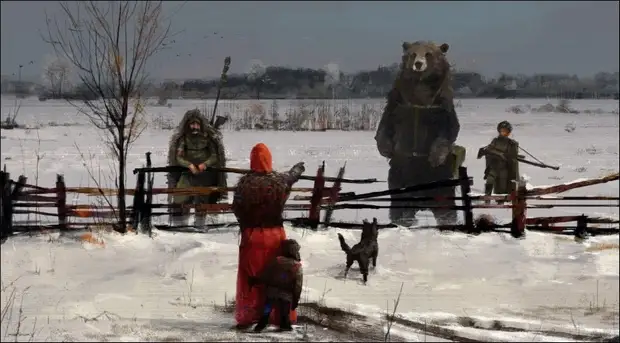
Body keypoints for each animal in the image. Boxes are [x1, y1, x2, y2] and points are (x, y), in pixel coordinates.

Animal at [372, 41, 460, 228]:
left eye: (428, 54)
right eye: (413, 54)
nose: (418, 64)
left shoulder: (442, 107)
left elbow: (449, 130)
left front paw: (435, 156)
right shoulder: (397, 103)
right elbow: (385, 124)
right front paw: (385, 149)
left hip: (441, 179)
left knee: (446, 207)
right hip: (400, 175)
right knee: (400, 205)